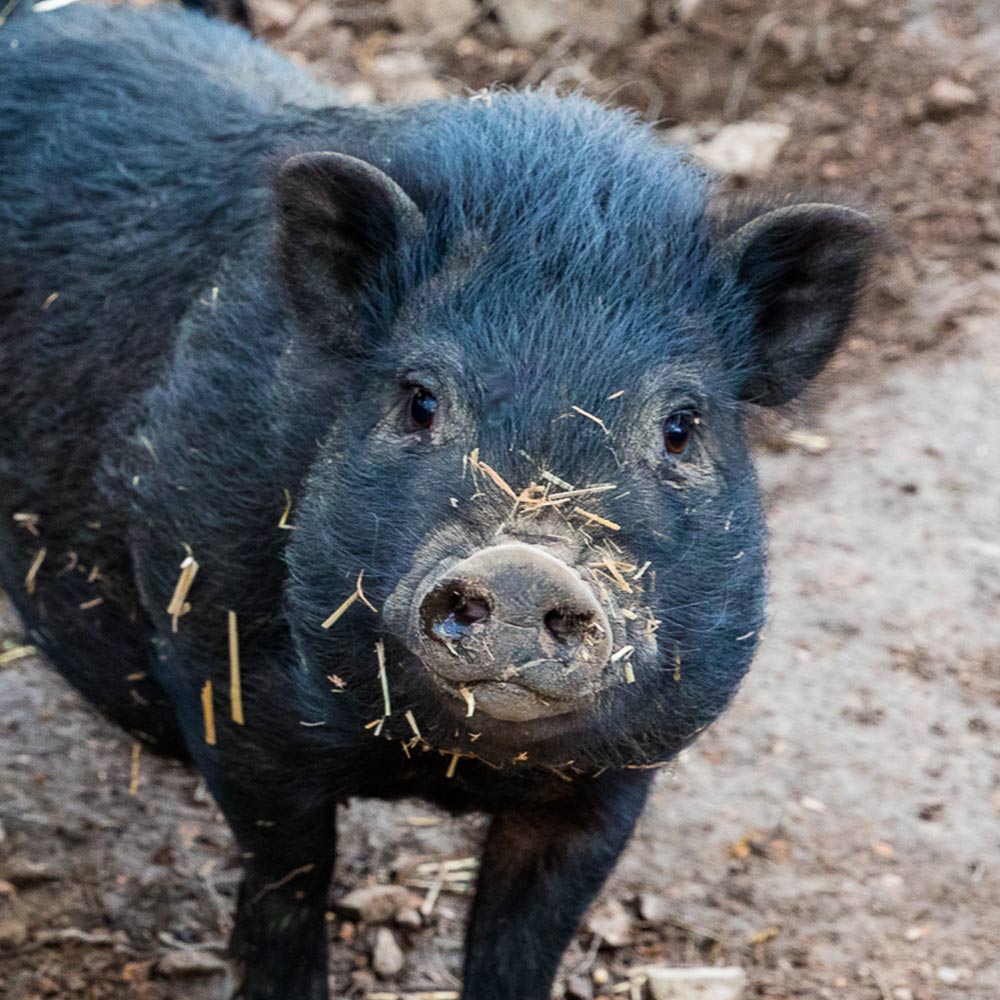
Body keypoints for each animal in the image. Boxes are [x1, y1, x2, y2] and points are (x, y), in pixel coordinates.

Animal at [0, 5, 877, 999]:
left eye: (682, 427)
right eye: (419, 400)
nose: (525, 565)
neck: (452, 765)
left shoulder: (621, 774)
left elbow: (524, 938)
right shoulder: (226, 689)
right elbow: (285, 884)